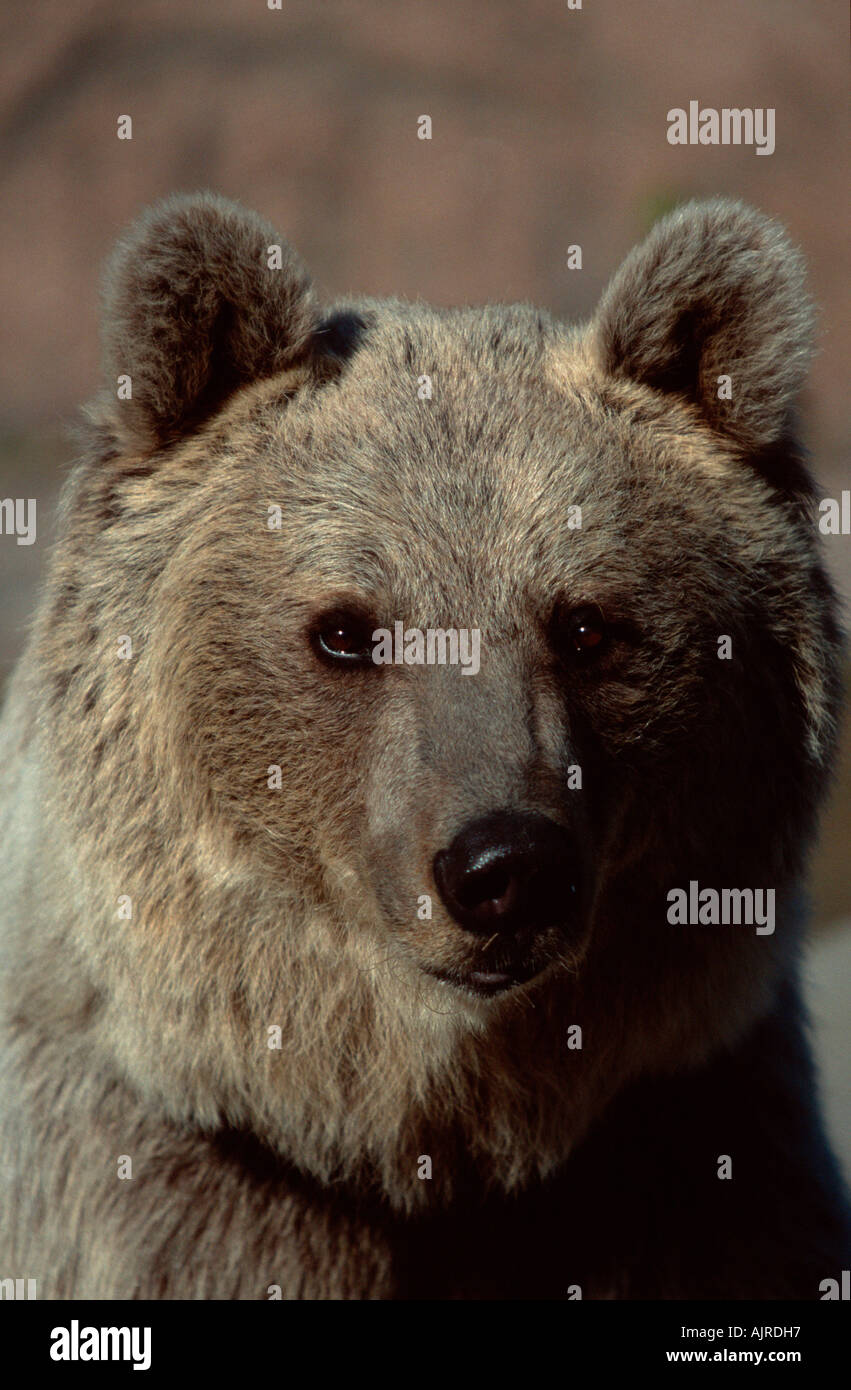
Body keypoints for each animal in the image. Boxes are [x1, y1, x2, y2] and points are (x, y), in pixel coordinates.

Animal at [0, 191, 848, 1300]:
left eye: (586, 625)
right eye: (345, 629)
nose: (507, 865)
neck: (419, 1122)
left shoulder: (698, 1159)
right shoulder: (168, 1195)